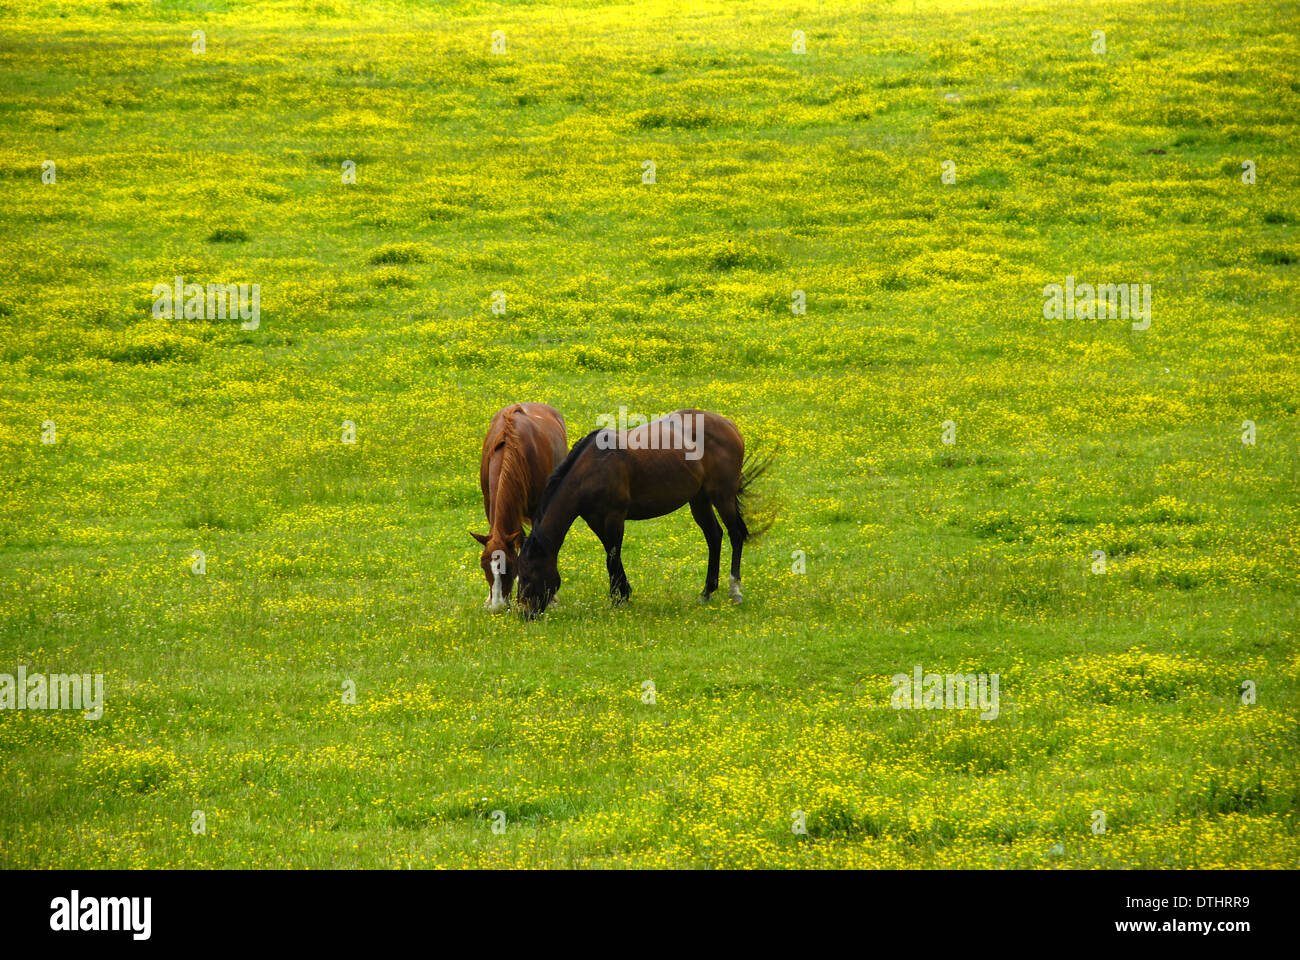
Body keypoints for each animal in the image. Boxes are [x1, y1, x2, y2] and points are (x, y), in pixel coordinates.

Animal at [515, 409, 772, 618]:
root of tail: (730, 426)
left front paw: (618, 599)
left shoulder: (615, 518)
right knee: (714, 536)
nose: (525, 614)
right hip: (699, 500)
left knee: (735, 535)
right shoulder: (595, 521)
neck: (593, 467)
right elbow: (611, 556)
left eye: (530, 574)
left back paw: (735, 591)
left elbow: (612, 557)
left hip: (722, 496)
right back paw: (707, 592)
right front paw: (623, 594)